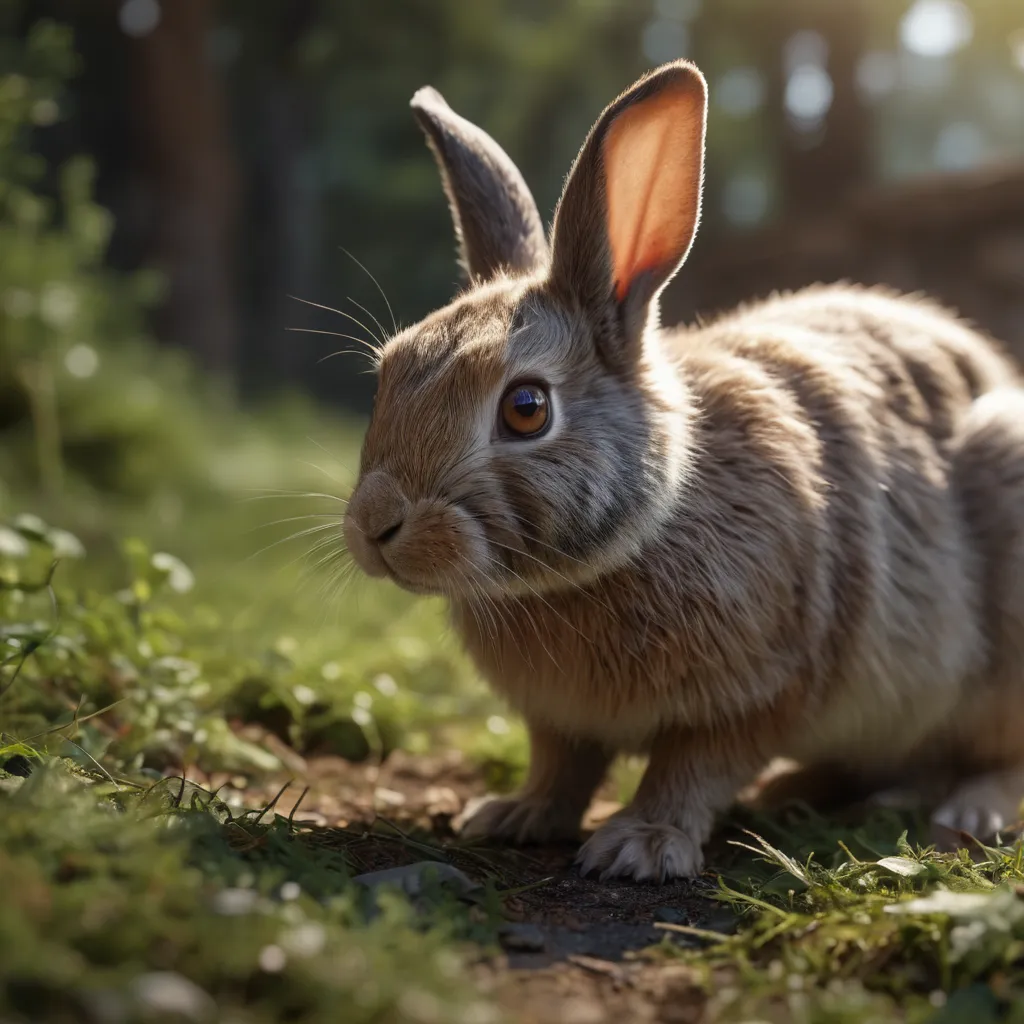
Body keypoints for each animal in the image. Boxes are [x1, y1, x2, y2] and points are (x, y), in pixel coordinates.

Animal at [342, 59, 1024, 882]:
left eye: (527, 408)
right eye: (389, 371)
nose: (374, 525)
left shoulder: (761, 688)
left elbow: (691, 769)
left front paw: (639, 846)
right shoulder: (561, 721)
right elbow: (562, 764)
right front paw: (516, 815)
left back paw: (968, 810)